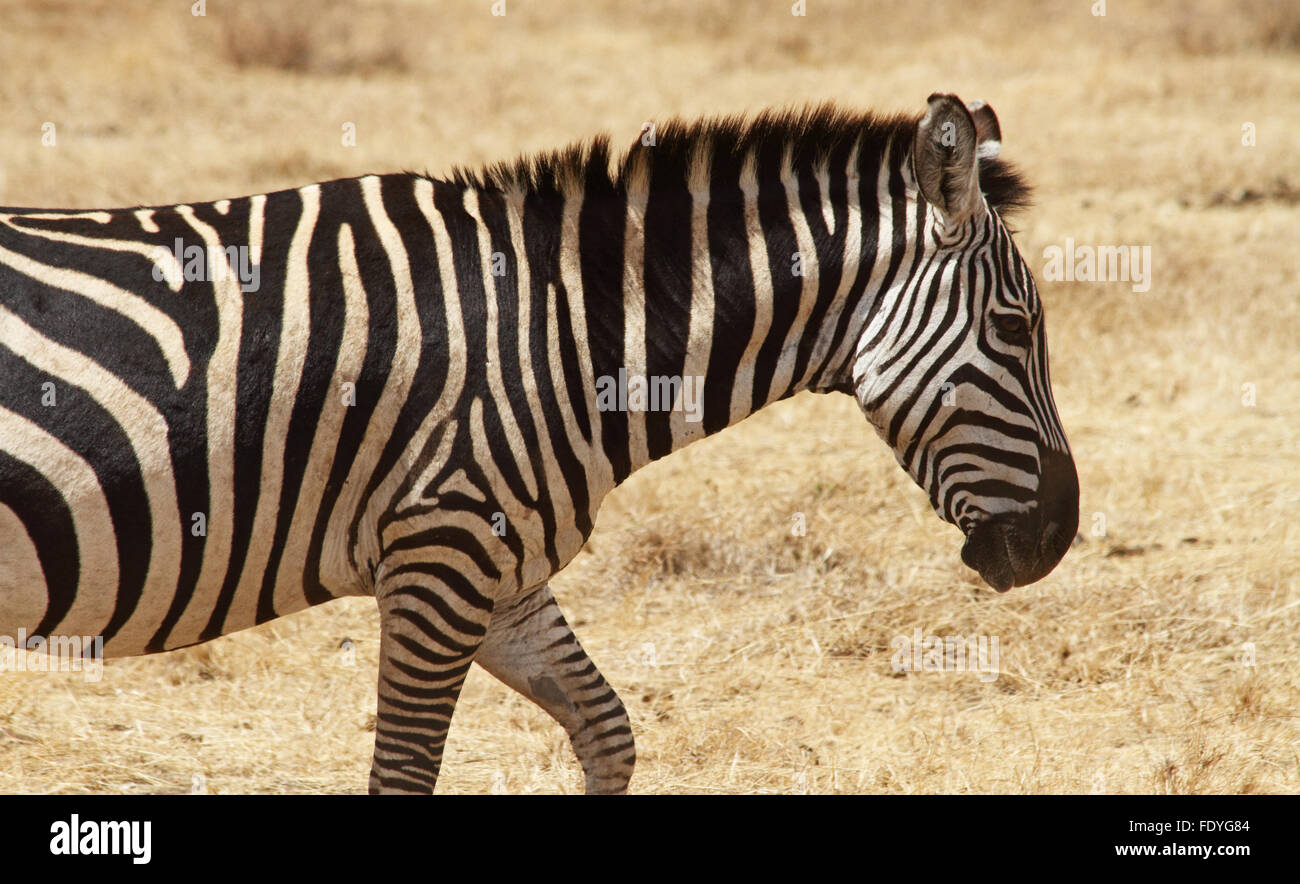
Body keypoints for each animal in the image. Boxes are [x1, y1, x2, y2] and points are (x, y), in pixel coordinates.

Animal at [0, 93, 1078, 793]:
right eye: (1016, 328)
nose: (1058, 538)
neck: (558, 332)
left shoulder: (498, 570)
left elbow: (607, 730)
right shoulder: (438, 556)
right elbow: (405, 773)